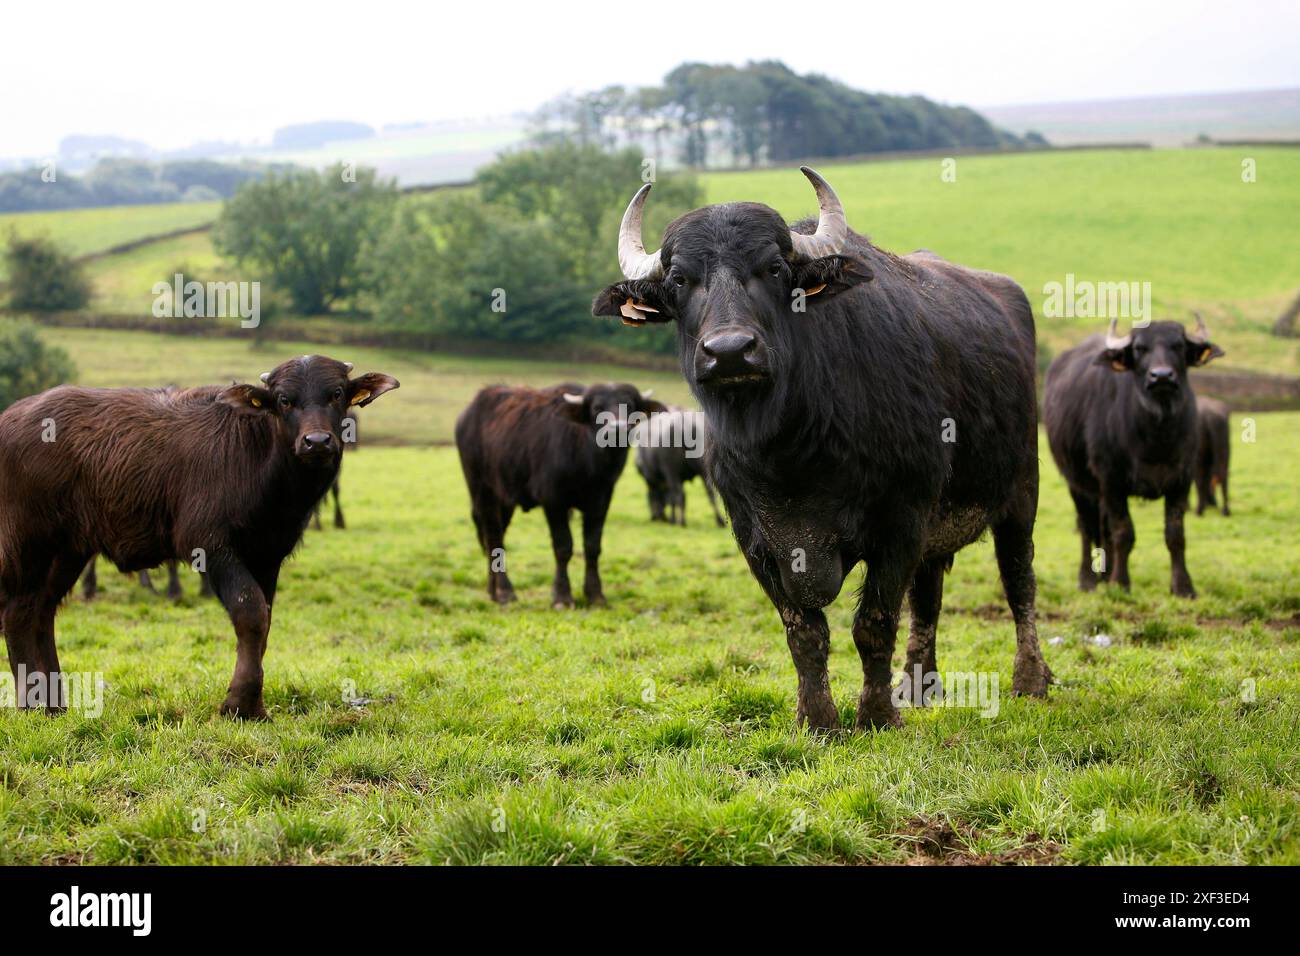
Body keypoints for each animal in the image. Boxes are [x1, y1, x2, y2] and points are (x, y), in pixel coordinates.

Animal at [0, 355, 398, 716]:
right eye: (285, 399)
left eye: (337, 393)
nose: (316, 442)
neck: (255, 455)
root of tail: (9, 420)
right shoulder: (208, 545)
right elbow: (250, 611)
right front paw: (240, 705)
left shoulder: (268, 555)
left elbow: (265, 621)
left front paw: (253, 703)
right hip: (29, 540)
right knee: (18, 611)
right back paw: (31, 704)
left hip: (68, 549)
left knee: (42, 611)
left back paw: (53, 703)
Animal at [456, 382, 663, 608]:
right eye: (596, 408)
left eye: (630, 406)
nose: (618, 428)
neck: (589, 463)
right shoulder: (553, 501)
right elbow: (563, 547)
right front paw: (562, 597)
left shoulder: (601, 502)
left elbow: (592, 547)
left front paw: (595, 595)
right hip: (483, 491)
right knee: (494, 538)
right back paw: (505, 591)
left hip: (505, 499)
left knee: (493, 537)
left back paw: (492, 590)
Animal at [592, 167, 1050, 732]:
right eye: (679, 279)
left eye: (772, 268)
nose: (729, 352)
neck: (791, 450)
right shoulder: (754, 536)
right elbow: (804, 631)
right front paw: (818, 718)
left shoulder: (901, 519)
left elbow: (873, 623)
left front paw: (876, 716)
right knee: (928, 596)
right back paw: (918, 686)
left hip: (1021, 493)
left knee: (1019, 582)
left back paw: (1030, 679)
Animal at [1044, 316, 1223, 597]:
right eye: (1140, 348)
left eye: (1179, 345)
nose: (1161, 376)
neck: (1156, 436)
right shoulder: (1112, 482)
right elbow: (1123, 532)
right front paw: (1120, 583)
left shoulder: (1181, 481)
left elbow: (1175, 535)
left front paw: (1183, 587)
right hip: (1076, 482)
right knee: (1087, 526)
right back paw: (1088, 580)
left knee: (1102, 528)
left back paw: (1104, 575)